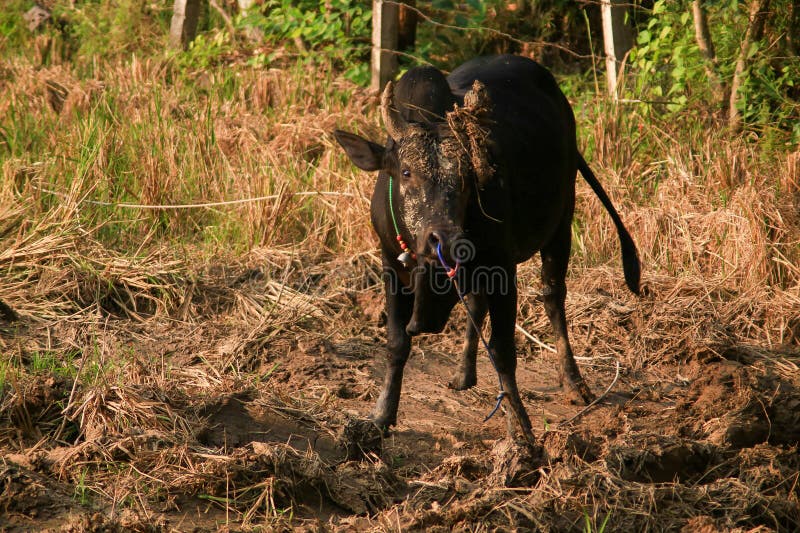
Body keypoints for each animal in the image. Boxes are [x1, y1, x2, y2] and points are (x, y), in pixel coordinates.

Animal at [334, 55, 640, 441]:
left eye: (467, 177)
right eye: (406, 172)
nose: (445, 240)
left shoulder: (502, 268)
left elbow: (504, 350)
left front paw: (521, 429)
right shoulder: (391, 263)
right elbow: (396, 342)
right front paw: (381, 415)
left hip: (562, 222)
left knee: (553, 296)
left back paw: (573, 382)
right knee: (477, 303)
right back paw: (463, 373)